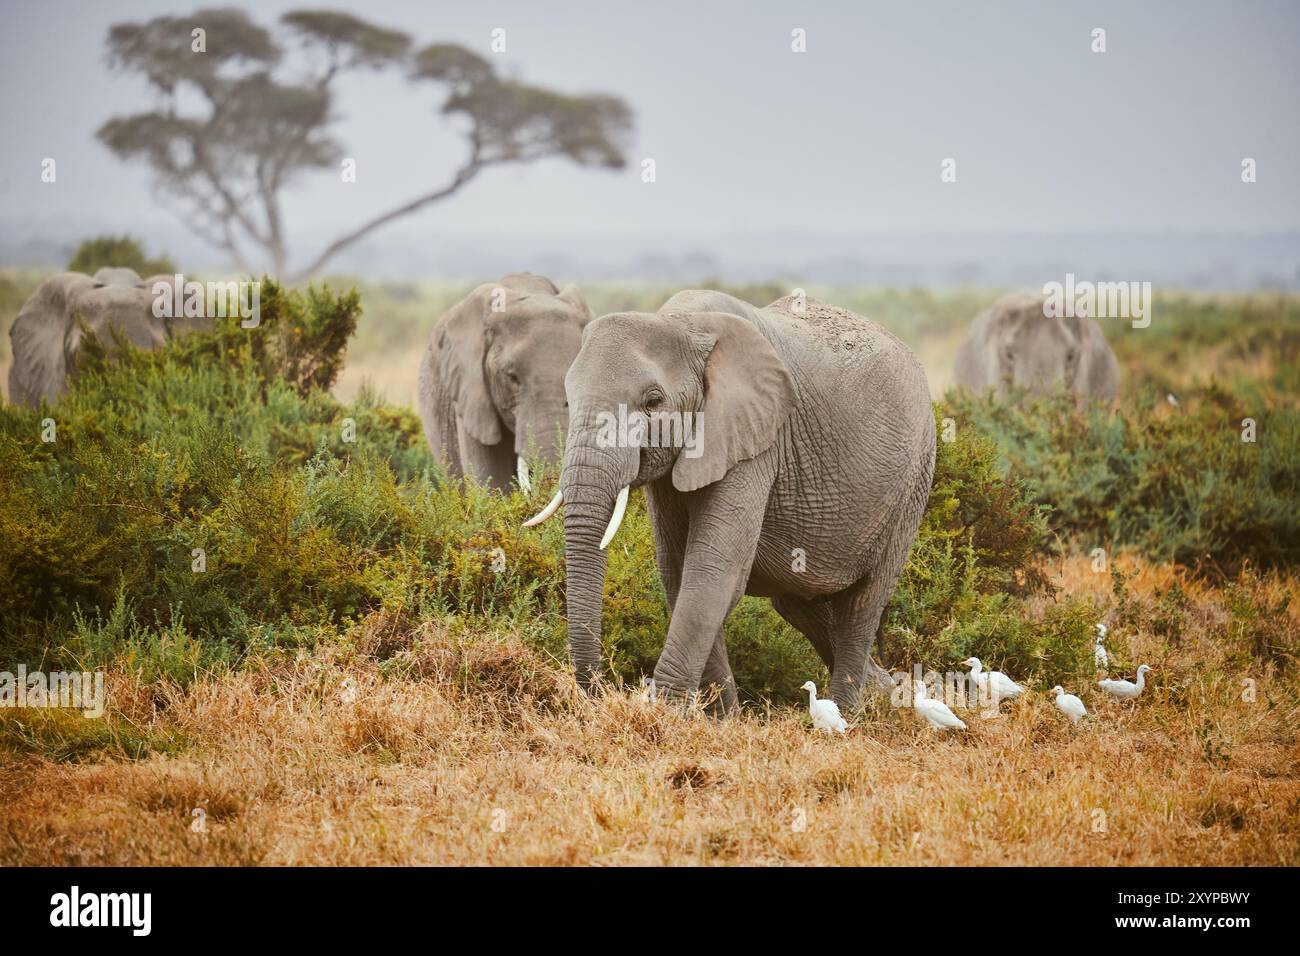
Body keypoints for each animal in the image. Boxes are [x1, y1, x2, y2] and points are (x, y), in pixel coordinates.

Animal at [523, 289, 936, 713]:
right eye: (569, 401)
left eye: (653, 401)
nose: (597, 693)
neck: (681, 323)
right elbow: (677, 570)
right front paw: (722, 717)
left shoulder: (755, 439)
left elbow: (713, 569)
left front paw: (667, 713)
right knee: (800, 605)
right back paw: (886, 690)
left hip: (914, 481)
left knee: (862, 604)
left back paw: (846, 712)